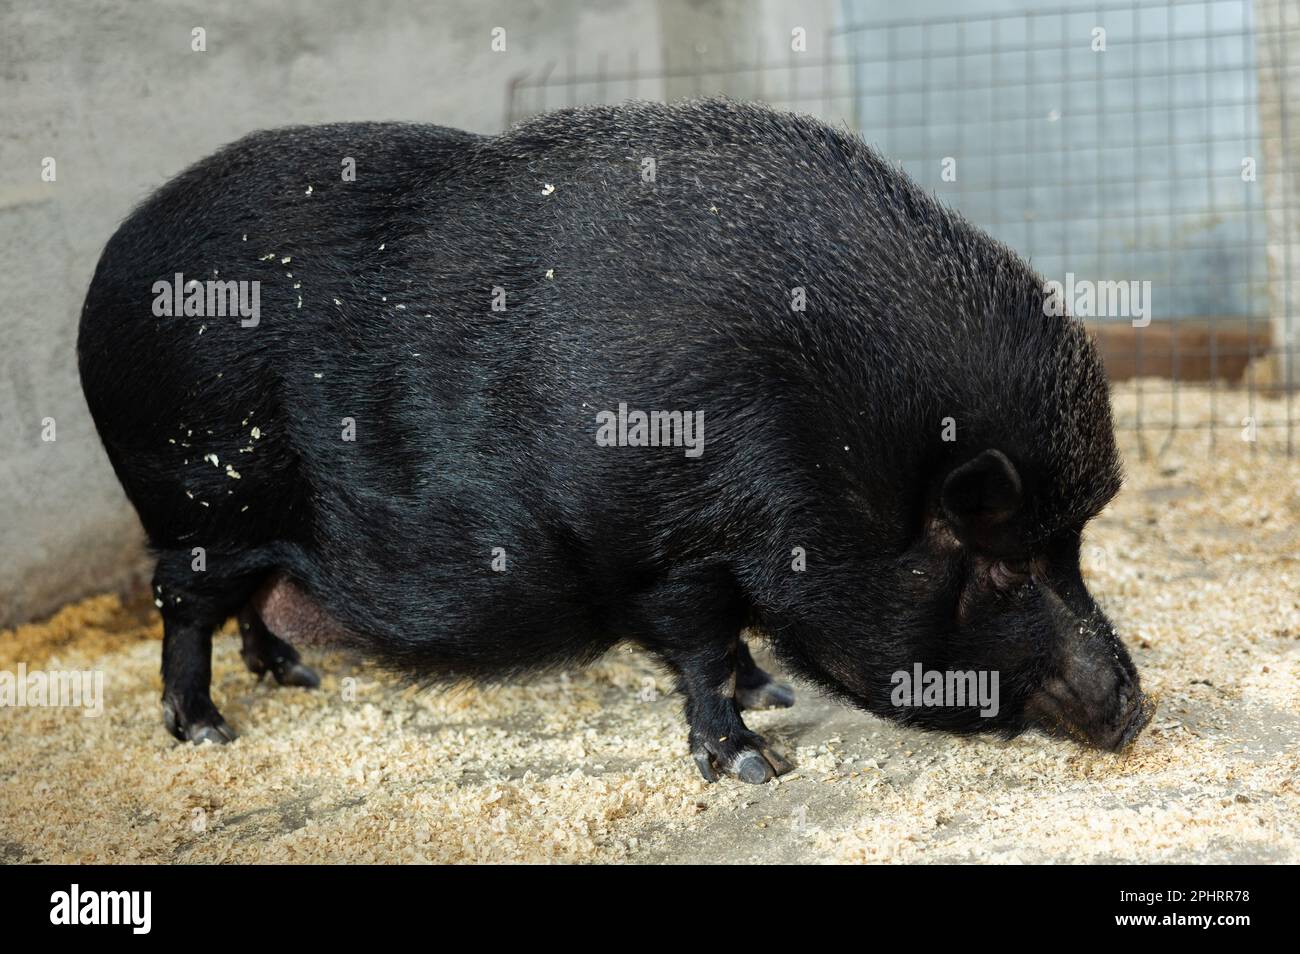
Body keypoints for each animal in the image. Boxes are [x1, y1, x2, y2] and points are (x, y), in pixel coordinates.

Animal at [77, 99, 1151, 784]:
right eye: (1003, 564)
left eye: (1072, 548)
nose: (1137, 710)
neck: (818, 440)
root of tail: (106, 279)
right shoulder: (666, 550)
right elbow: (702, 650)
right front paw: (756, 762)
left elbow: (735, 645)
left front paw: (774, 697)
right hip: (200, 499)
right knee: (183, 612)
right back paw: (209, 733)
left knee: (248, 607)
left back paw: (292, 674)